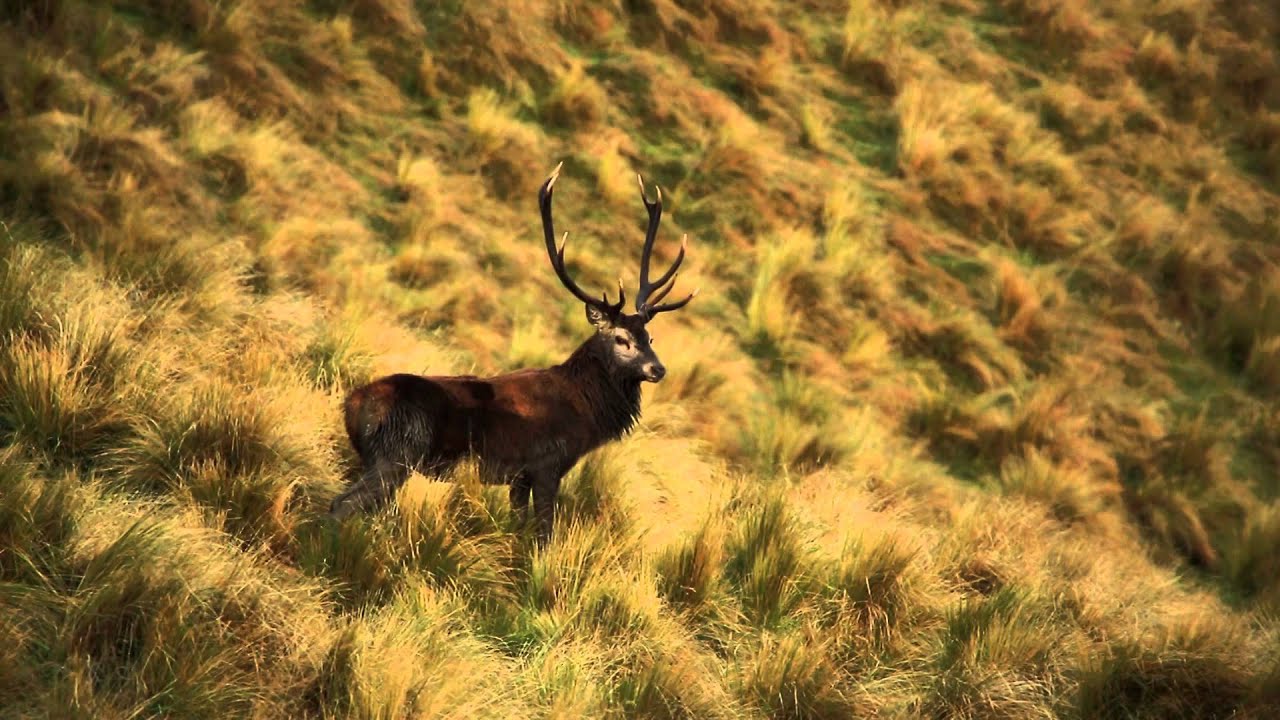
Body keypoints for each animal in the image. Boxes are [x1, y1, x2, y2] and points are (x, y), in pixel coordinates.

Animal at [328, 163, 698, 544]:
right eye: (622, 338)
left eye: (649, 336)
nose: (658, 369)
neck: (586, 414)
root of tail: (353, 407)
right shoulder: (547, 464)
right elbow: (544, 533)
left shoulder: (519, 477)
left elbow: (520, 528)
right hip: (396, 454)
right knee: (341, 504)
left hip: (377, 458)